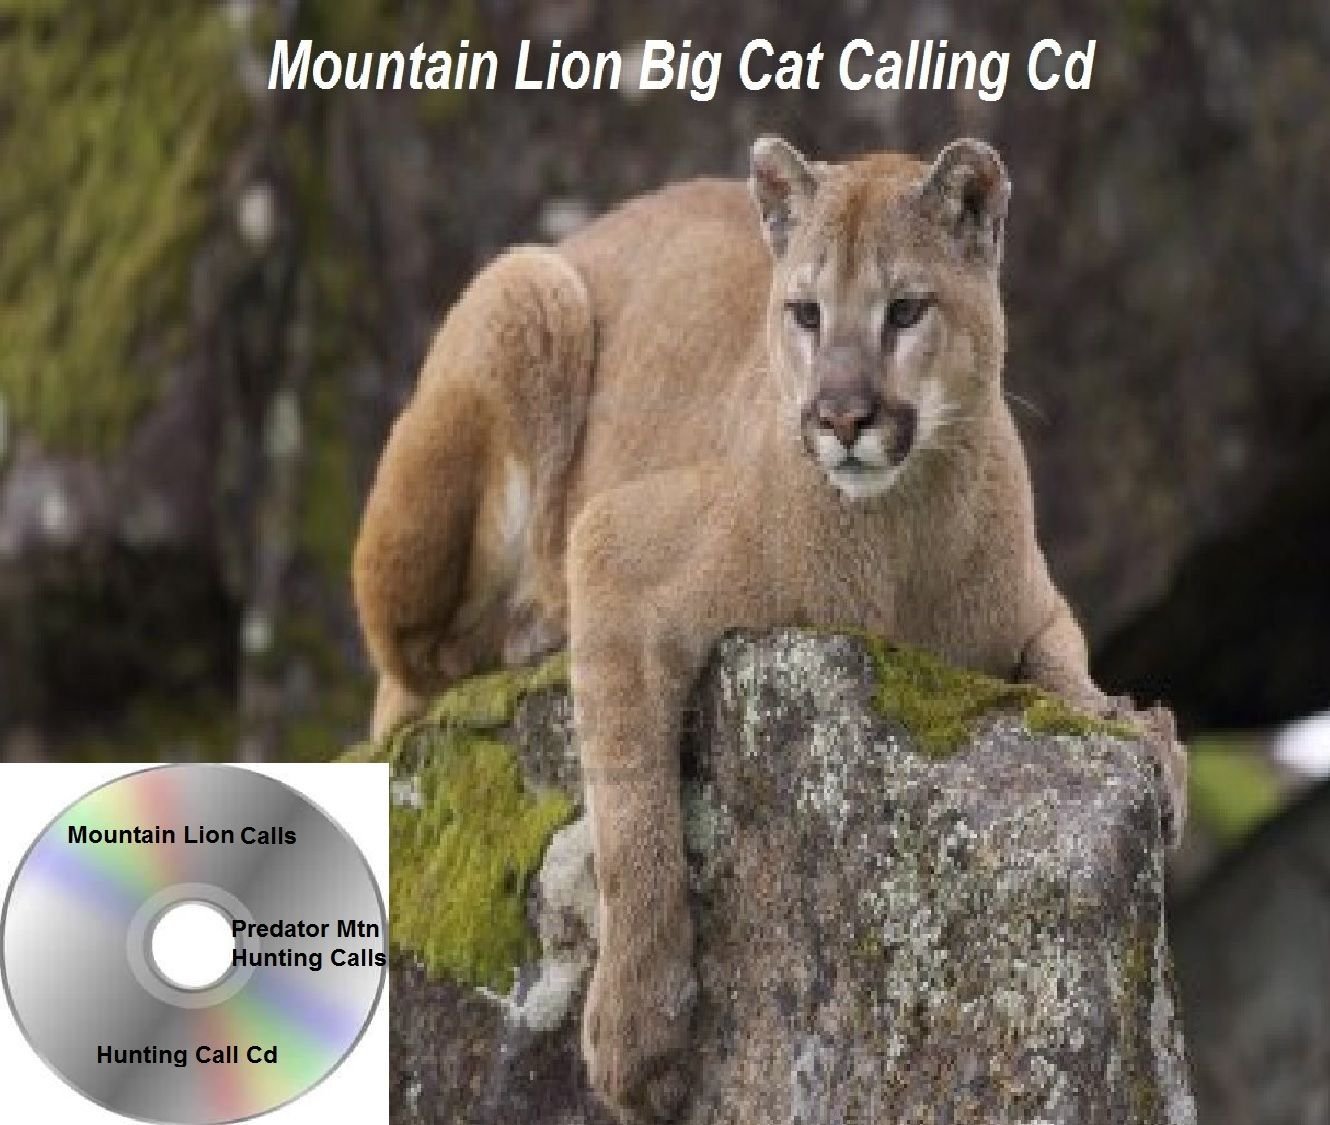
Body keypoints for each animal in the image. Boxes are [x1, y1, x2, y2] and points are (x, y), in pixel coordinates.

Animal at [352, 136, 1188, 1122]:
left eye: (906, 309)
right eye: (805, 312)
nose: (841, 416)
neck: (897, 534)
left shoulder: (1037, 606)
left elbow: (1064, 668)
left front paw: (1138, 730)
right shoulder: (614, 550)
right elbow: (631, 808)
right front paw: (638, 1032)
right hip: (528, 288)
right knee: (416, 663)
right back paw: (535, 626)